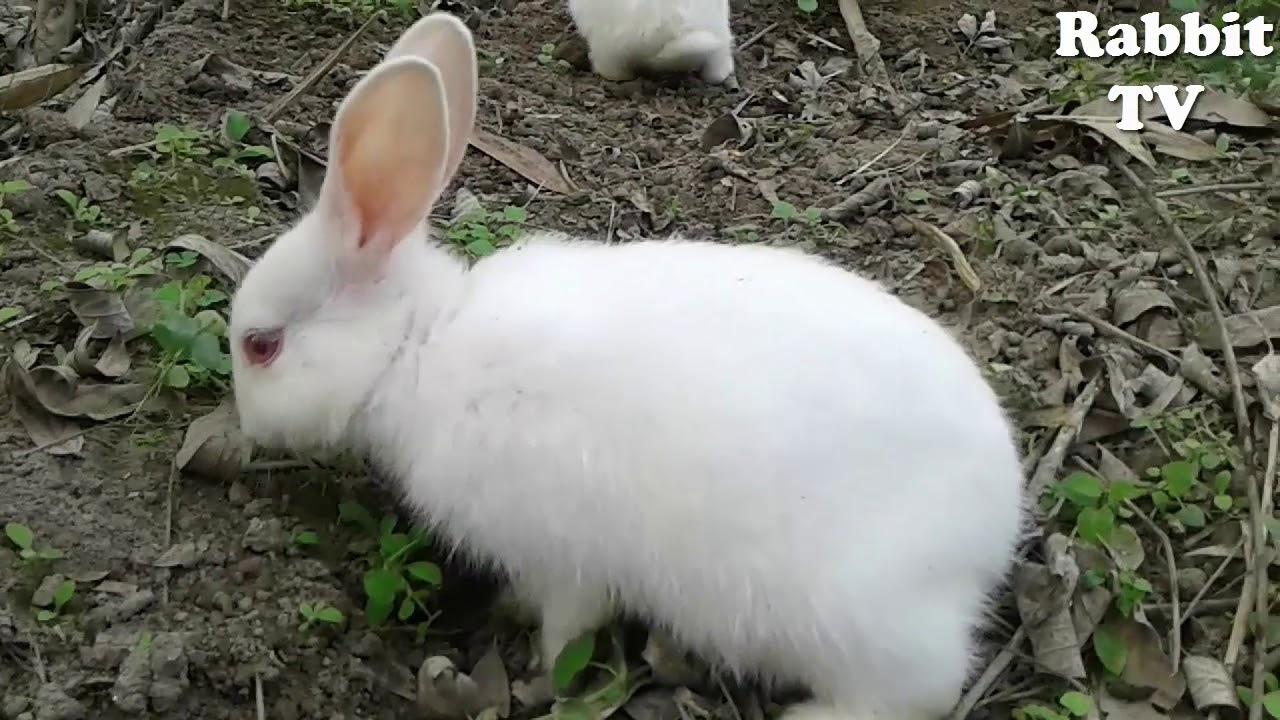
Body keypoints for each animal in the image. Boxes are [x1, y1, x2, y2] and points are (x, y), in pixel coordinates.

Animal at [228, 12, 1026, 720]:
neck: (416, 348)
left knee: (922, 691)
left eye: (261, 345)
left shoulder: (564, 559)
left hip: (846, 618)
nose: (245, 425)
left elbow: (567, 626)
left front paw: (541, 670)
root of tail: (996, 528)